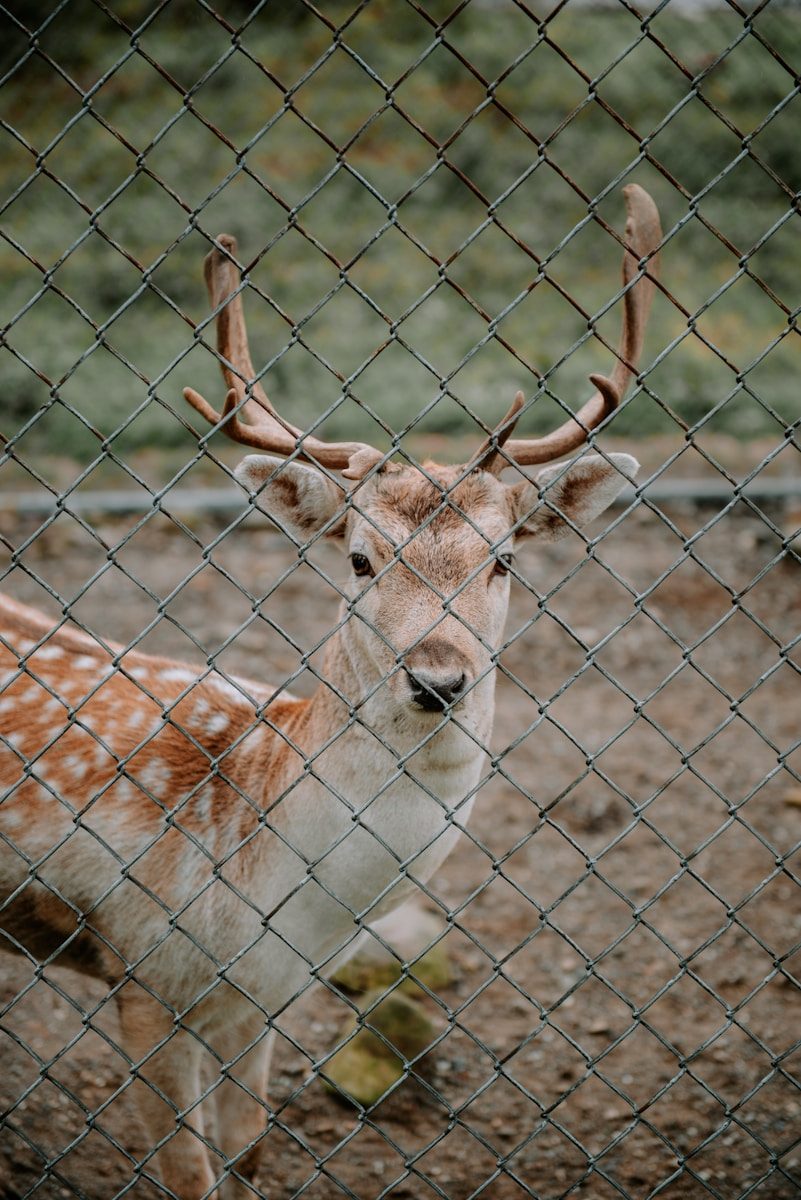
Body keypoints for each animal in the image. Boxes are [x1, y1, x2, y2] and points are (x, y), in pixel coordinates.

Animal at [0, 185, 660, 1199]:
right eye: (358, 558)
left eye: (504, 560)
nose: (437, 677)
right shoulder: (141, 972)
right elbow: (188, 1171)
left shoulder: (262, 1002)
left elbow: (247, 1151)